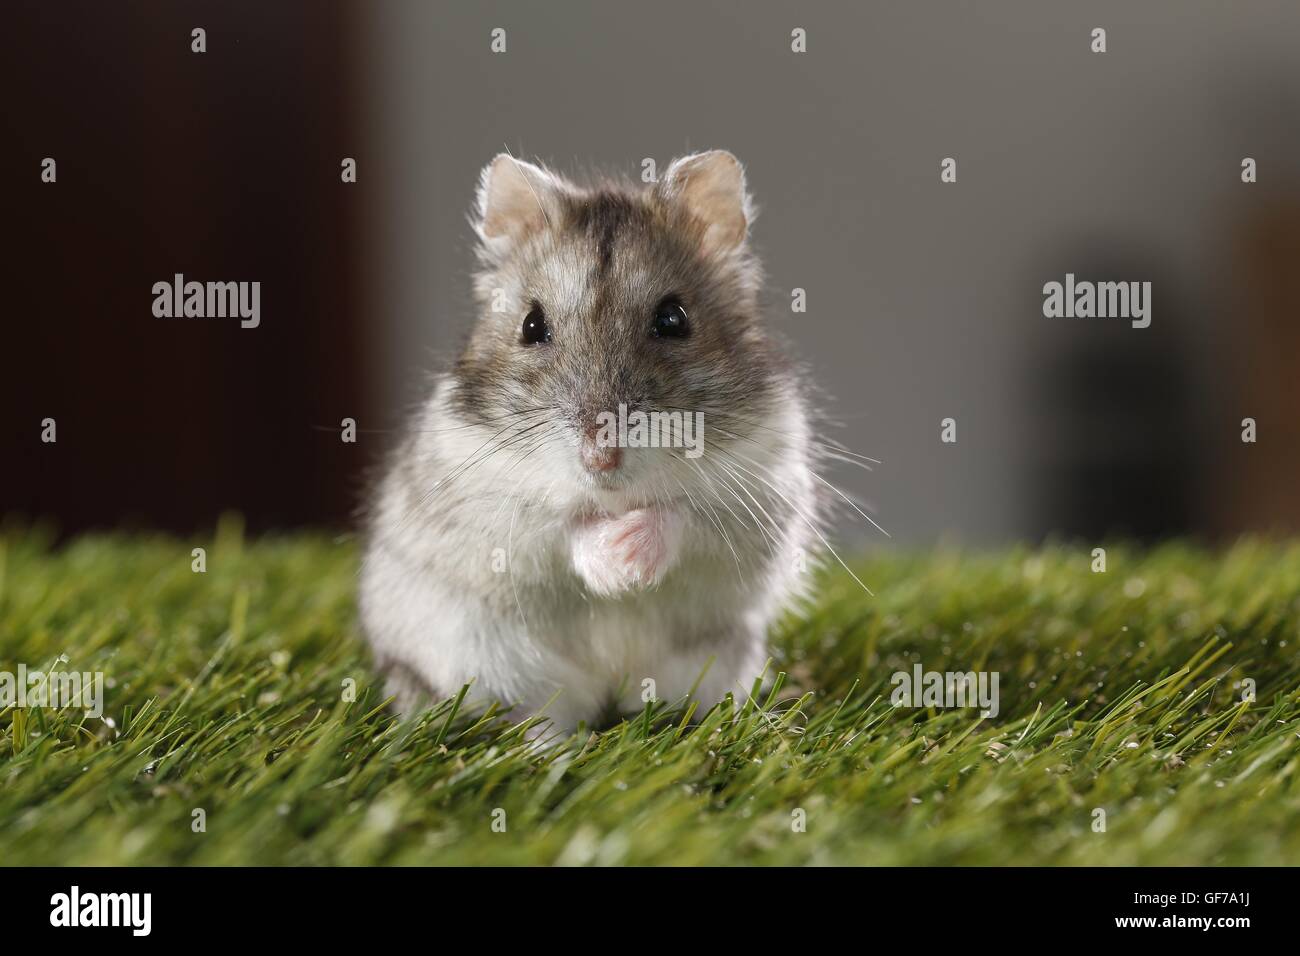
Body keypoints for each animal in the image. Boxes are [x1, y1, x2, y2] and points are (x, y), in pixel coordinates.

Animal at [360, 150, 823, 735]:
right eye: (531, 325)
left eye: (674, 319)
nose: (600, 459)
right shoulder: (481, 502)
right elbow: (562, 527)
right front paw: (614, 568)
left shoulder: (764, 491)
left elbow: (684, 514)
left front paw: (630, 558)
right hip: (487, 658)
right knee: (531, 720)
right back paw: (561, 745)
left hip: (720, 656)